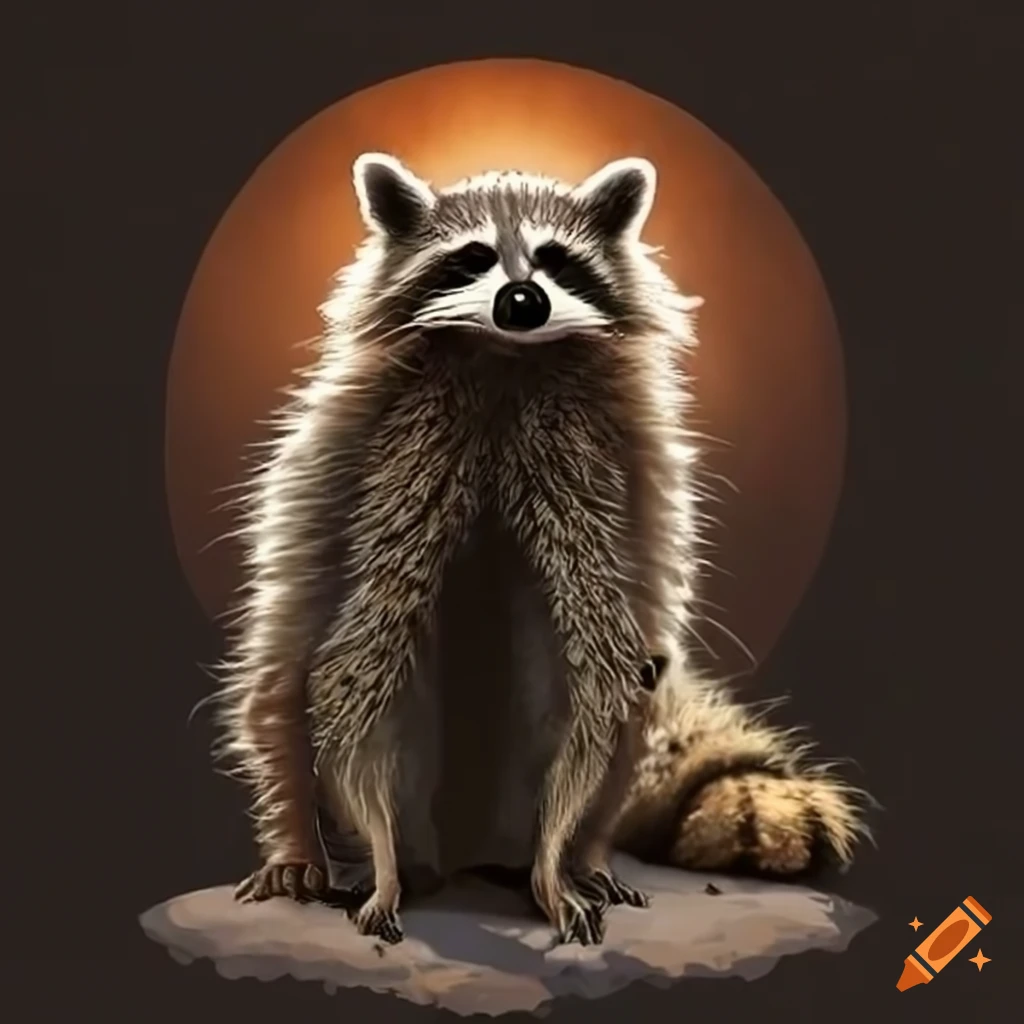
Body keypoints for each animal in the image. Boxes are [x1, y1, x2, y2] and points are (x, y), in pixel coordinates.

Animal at [220, 153, 868, 947]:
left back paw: (570, 860)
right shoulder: (344, 439)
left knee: (626, 700)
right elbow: (303, 586)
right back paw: (326, 850)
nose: (521, 301)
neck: (505, 360)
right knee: (282, 685)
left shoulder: (635, 456)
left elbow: (639, 591)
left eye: (557, 259)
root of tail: (466, 852)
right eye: (472, 257)